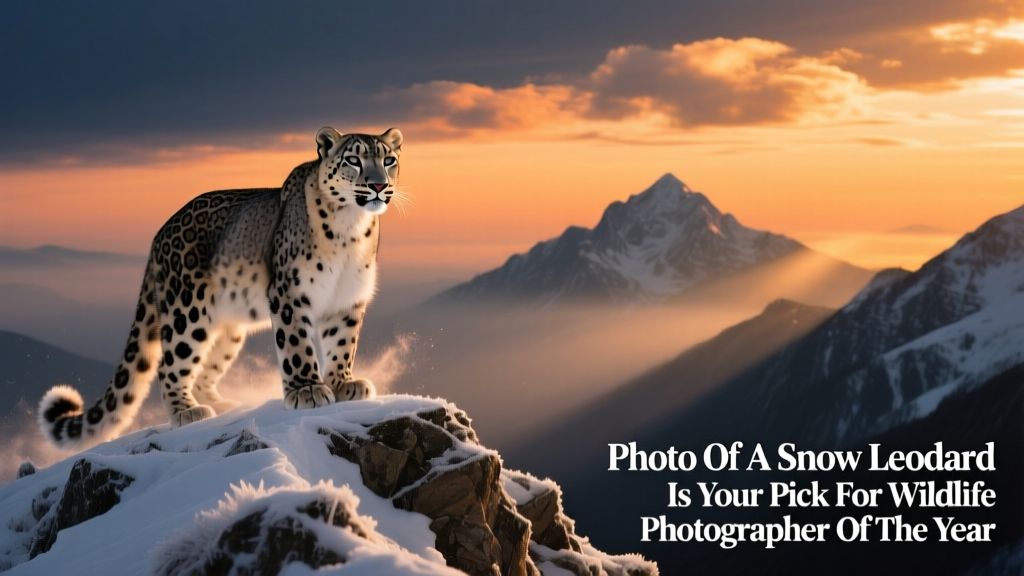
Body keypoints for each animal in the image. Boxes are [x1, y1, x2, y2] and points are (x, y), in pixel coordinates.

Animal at [38, 126, 403, 450]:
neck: (350, 229)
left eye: (388, 161)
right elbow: (297, 344)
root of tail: (159, 235)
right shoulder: (289, 292)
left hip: (228, 328)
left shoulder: (348, 298)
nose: (378, 185)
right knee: (171, 364)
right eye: (353, 160)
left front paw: (343, 383)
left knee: (204, 369)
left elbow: (342, 343)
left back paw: (227, 405)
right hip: (187, 312)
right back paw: (187, 412)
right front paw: (307, 390)